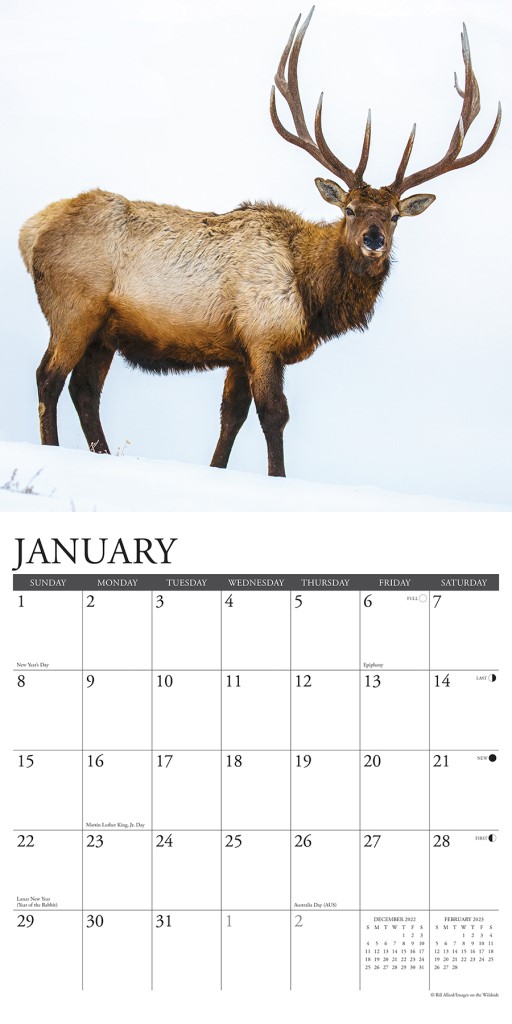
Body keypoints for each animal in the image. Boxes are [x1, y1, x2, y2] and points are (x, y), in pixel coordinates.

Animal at [19, 8, 501, 477]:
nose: (374, 238)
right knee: (49, 377)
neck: (313, 295)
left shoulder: (239, 349)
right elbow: (274, 415)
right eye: (349, 209)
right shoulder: (263, 336)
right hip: (74, 309)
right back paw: (52, 451)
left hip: (104, 333)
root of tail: (29, 233)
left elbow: (230, 416)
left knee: (84, 389)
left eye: (396, 216)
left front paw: (217, 470)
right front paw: (278, 477)